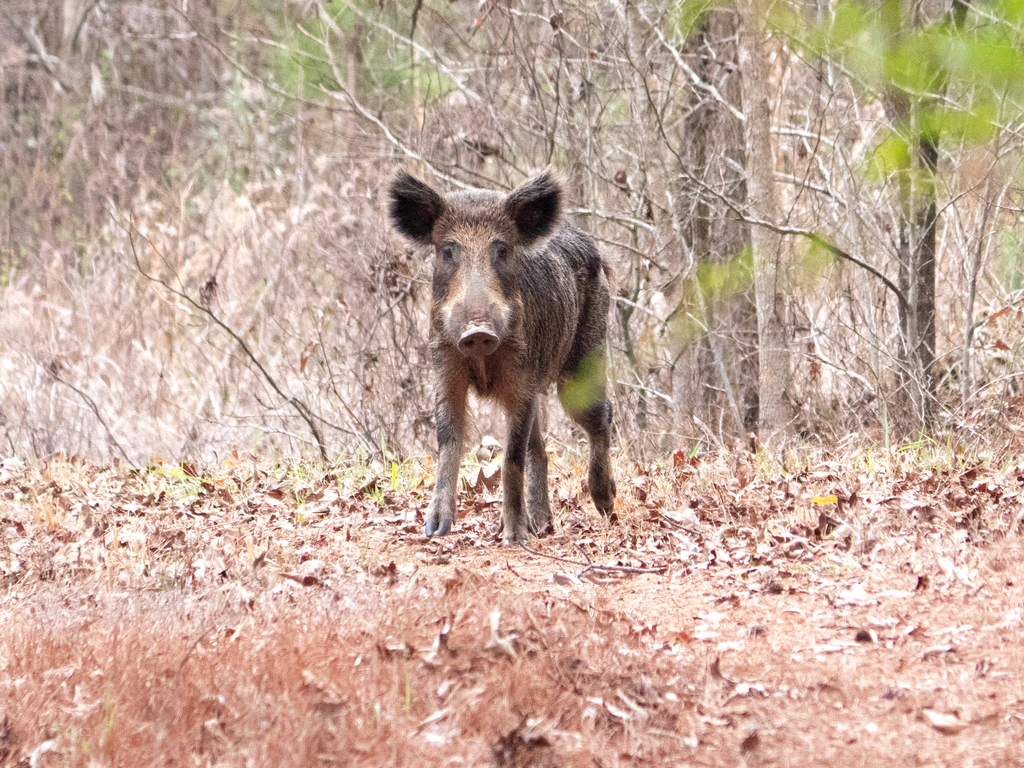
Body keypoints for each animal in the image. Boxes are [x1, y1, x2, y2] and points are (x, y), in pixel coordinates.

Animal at [388, 169, 616, 545]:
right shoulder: (444, 368)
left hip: (583, 360)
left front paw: (514, 539)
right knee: (540, 446)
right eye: (448, 250)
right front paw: (435, 530)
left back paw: (606, 507)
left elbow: (511, 458)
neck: (483, 364)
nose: (477, 331)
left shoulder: (520, 378)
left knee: (601, 417)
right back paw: (542, 525)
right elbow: (449, 441)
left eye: (502, 250)